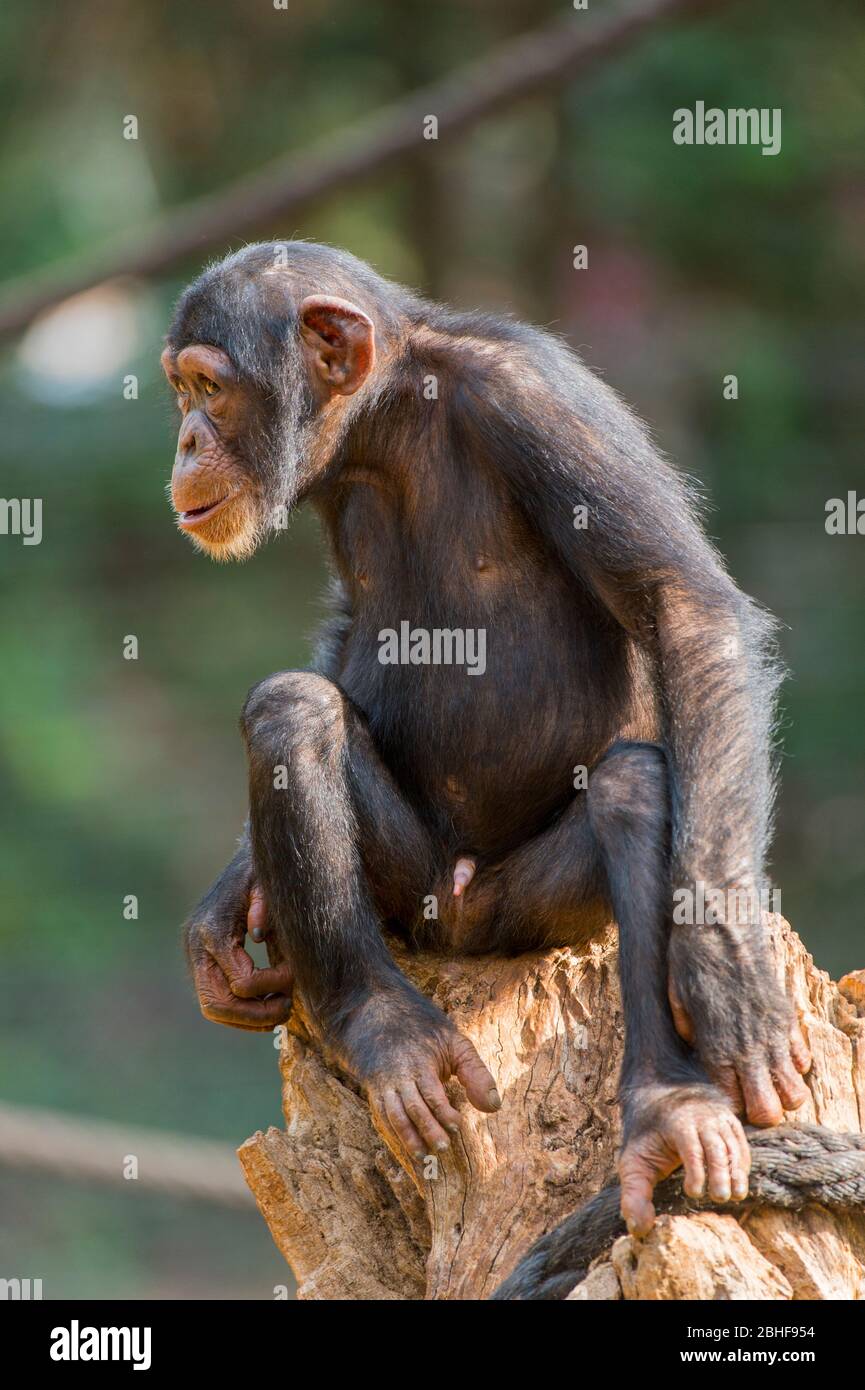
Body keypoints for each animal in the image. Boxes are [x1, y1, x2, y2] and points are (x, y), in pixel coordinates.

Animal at [161, 241, 811, 1238]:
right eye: (180, 390)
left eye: (208, 387)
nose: (187, 441)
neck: (389, 418)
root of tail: (463, 917)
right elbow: (344, 633)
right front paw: (230, 905)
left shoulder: (535, 400)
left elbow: (682, 606)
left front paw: (726, 968)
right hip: (410, 888)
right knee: (290, 709)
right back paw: (387, 1033)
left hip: (531, 912)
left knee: (634, 787)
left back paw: (669, 1112)